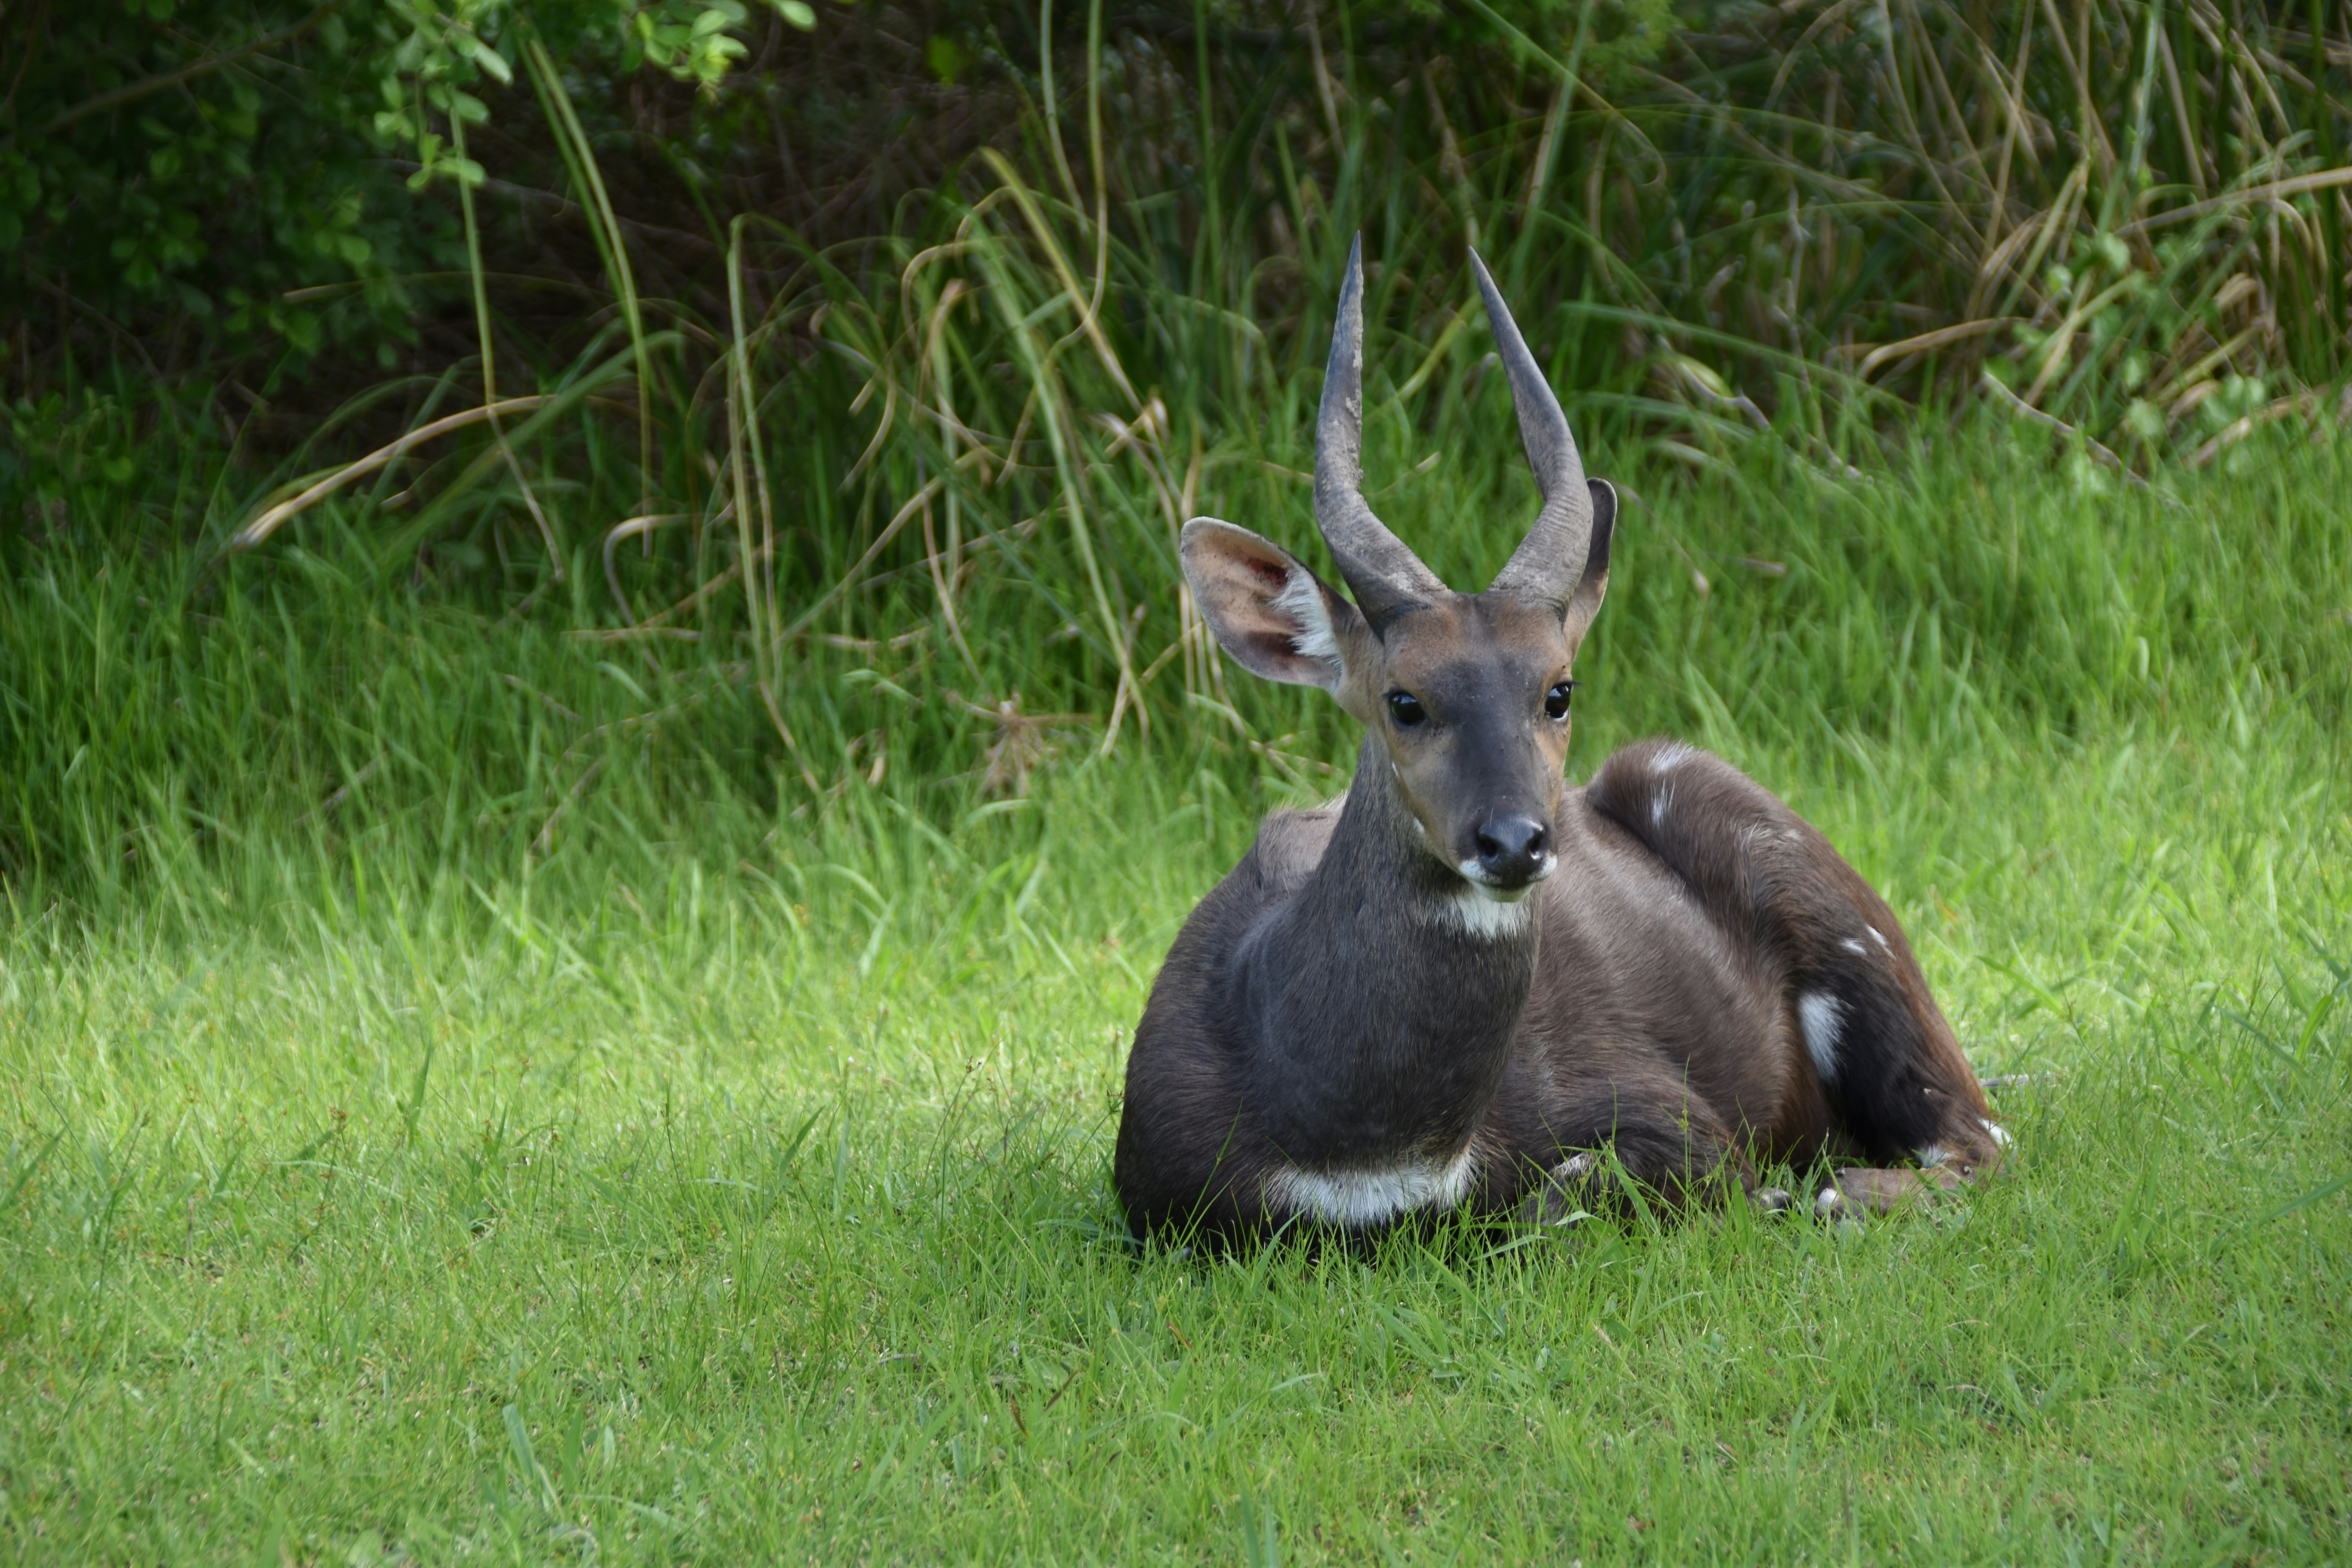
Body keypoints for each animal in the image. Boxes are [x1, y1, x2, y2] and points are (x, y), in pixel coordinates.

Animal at [1114, 239, 2007, 1244]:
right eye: (1404, 699)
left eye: (1558, 689)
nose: (1514, 842)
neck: (1370, 1155)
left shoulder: (1669, 1114)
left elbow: (1575, 1192)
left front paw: (1783, 1192)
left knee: (1980, 1139)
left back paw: (1841, 1191)